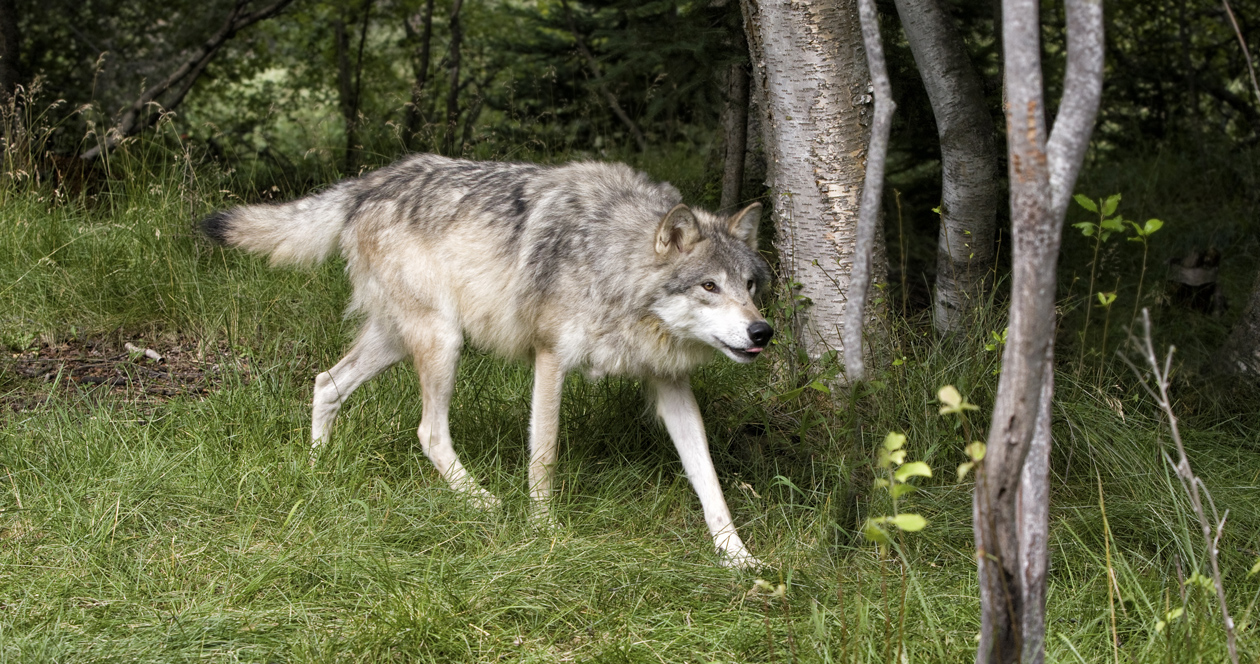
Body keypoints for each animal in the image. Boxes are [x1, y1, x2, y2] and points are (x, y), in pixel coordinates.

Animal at [201, 154, 773, 567]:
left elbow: (709, 480)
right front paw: (545, 535)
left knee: (325, 383)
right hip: (443, 342)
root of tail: (372, 181)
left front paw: (738, 558)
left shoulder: (671, 382)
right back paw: (480, 502)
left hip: (398, 341)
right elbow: (543, 460)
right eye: (708, 286)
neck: (612, 261)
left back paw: (319, 471)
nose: (762, 332)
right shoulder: (550, 360)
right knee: (428, 431)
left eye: (748, 285)